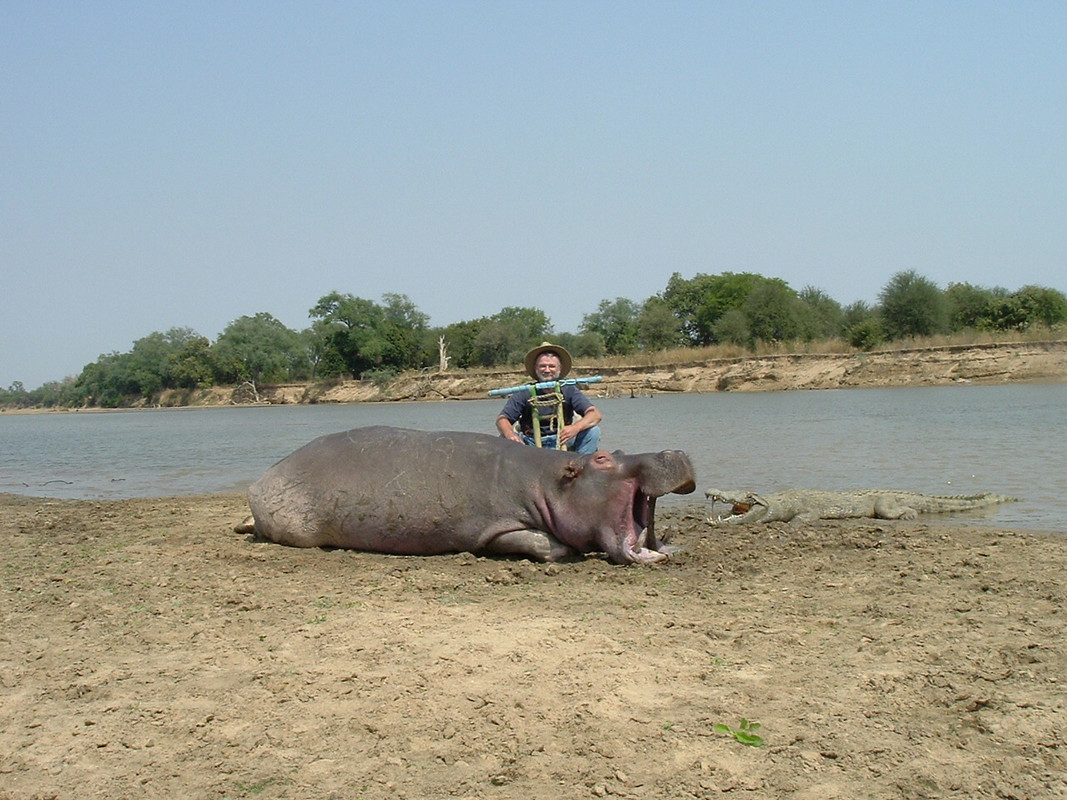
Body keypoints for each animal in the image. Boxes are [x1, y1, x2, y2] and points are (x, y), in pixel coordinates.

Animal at [235, 425, 696, 565]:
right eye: (601, 459)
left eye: (616, 450)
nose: (674, 451)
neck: (550, 480)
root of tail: (262, 478)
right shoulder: (496, 526)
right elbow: (547, 545)